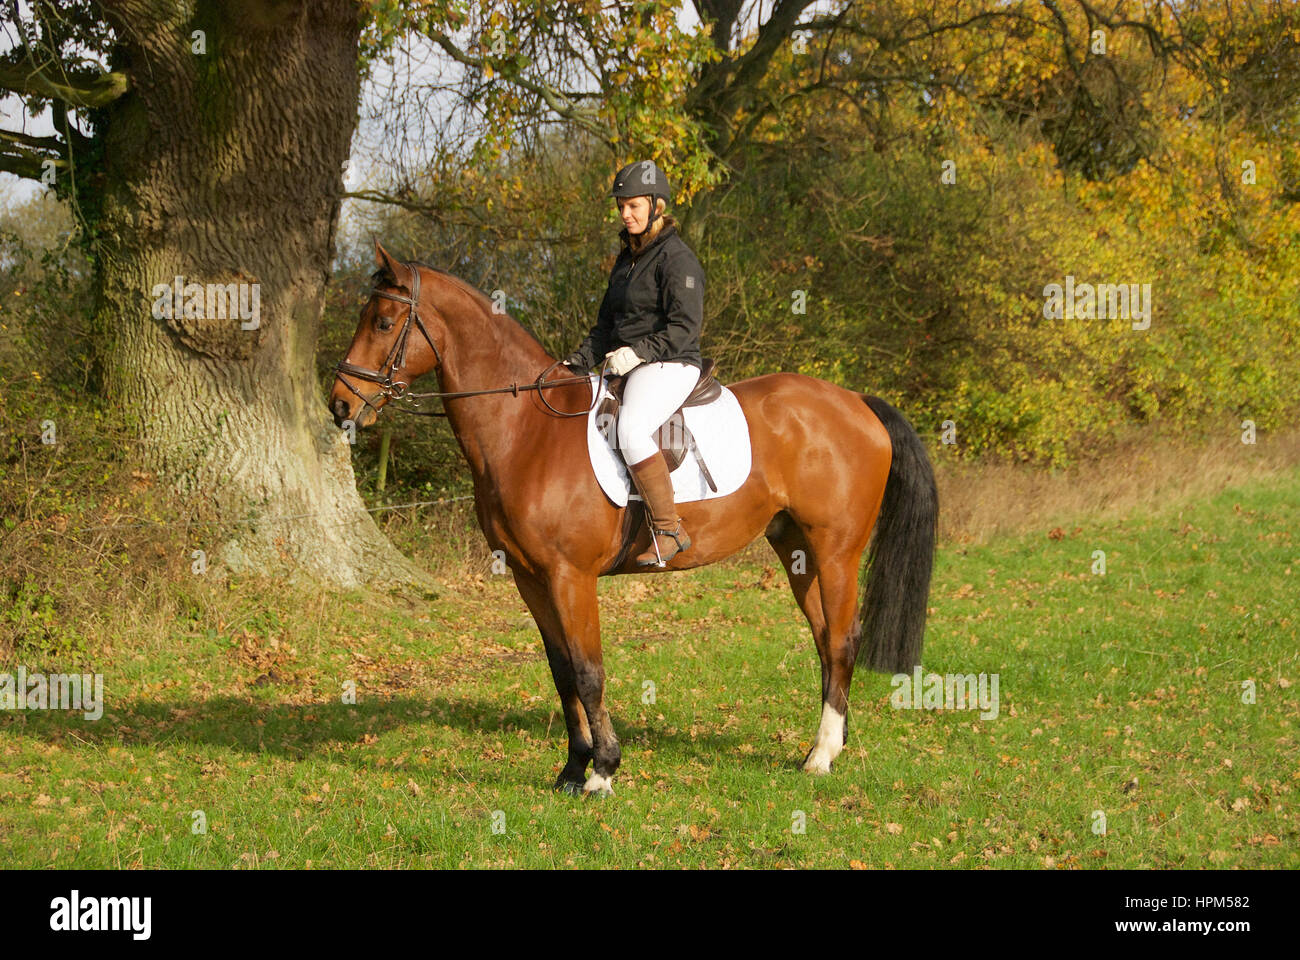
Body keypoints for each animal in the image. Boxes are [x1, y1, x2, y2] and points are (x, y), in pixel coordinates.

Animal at [328, 241, 939, 796]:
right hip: (797, 551)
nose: (340, 404)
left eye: (383, 322)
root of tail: (855, 401)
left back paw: (823, 758)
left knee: (840, 639)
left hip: (836, 552)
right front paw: (572, 769)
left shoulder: (570, 576)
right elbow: (561, 671)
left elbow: (587, 670)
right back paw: (821, 748)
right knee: (824, 637)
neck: (526, 431)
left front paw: (602, 772)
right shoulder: (531, 578)